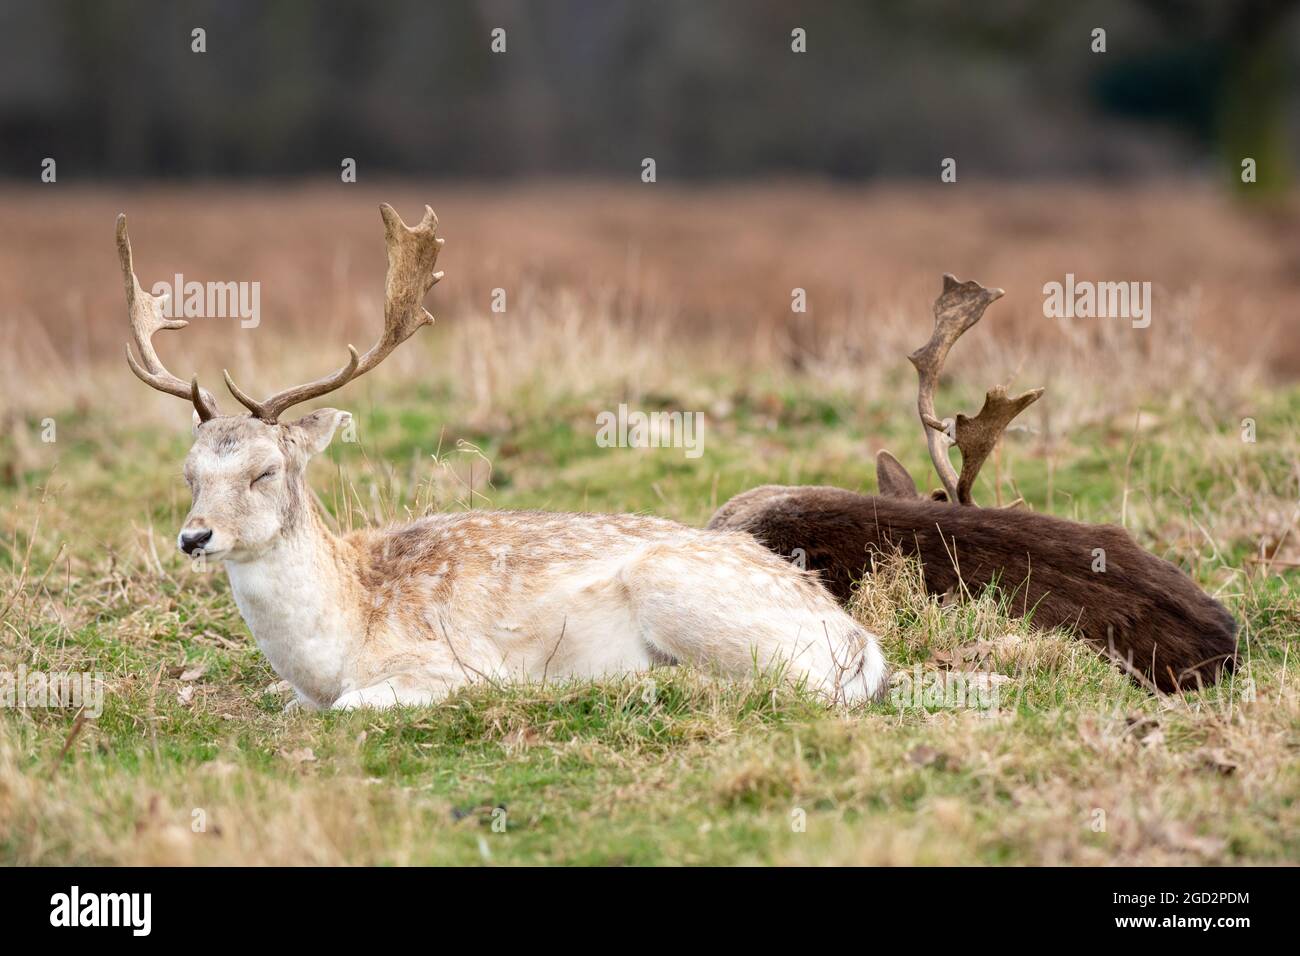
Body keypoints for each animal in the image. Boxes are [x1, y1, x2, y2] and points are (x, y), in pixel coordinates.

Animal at [117, 204, 887, 710]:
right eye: (190, 473)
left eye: (265, 470)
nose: (195, 537)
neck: (337, 646)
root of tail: (860, 643)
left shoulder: (442, 665)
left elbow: (354, 707)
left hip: (692, 599)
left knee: (792, 685)